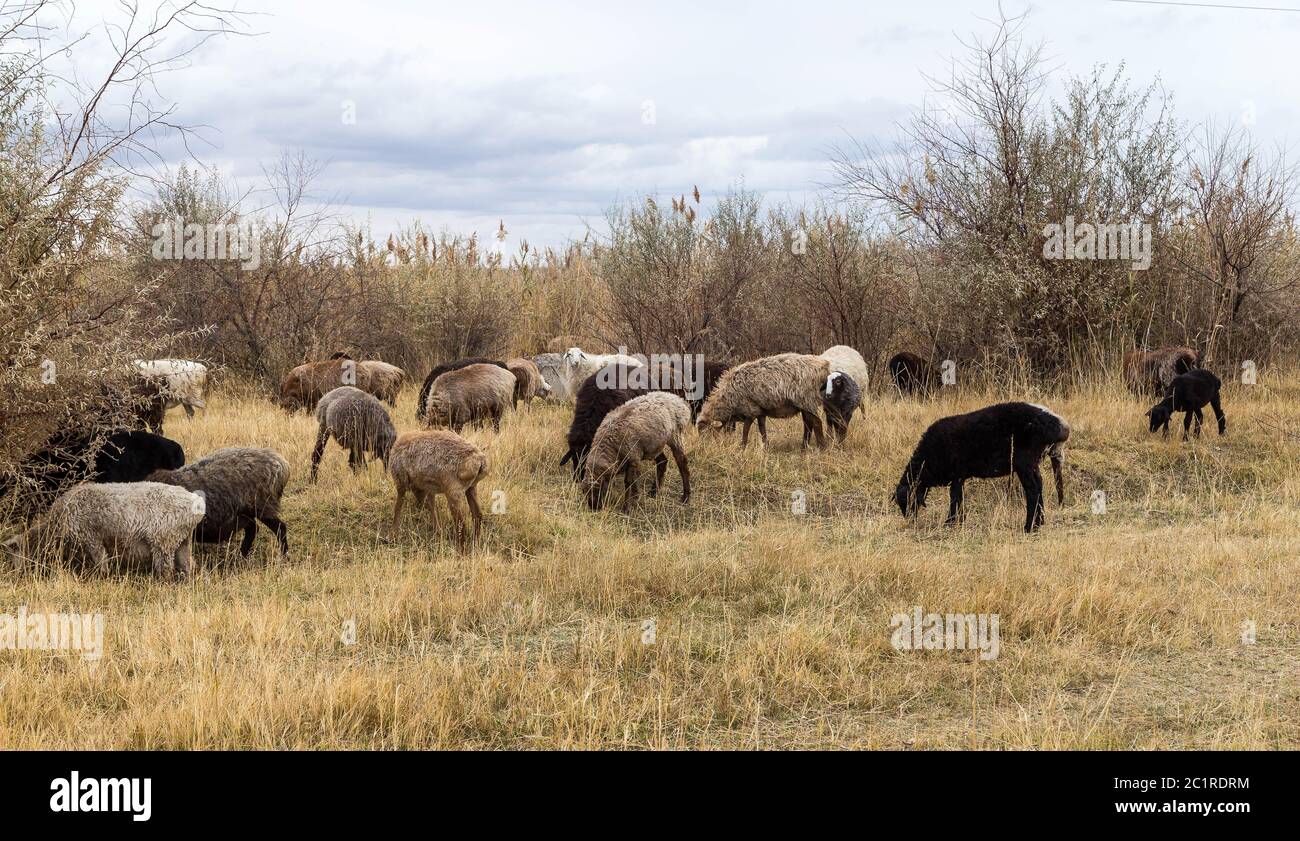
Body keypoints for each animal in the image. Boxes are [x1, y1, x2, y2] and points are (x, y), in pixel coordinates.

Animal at [2, 482, 204, 579]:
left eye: (11, 556)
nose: (13, 575)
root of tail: (196, 504)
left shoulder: (91, 538)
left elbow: (102, 564)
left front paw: (103, 578)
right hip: (182, 540)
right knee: (187, 567)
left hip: (163, 540)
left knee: (167, 571)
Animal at [147, 447, 290, 558]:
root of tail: (281, 465)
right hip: (245, 514)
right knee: (253, 529)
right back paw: (241, 555)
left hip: (262, 507)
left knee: (280, 528)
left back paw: (283, 555)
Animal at [696, 353, 831, 450]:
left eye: (705, 432)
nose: (702, 448)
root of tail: (824, 365)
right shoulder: (760, 412)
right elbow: (762, 430)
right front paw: (765, 447)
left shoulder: (750, 410)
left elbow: (745, 430)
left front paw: (742, 447)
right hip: (804, 404)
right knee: (808, 424)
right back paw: (804, 447)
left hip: (807, 400)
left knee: (816, 423)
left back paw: (821, 447)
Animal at [894, 402, 1070, 533]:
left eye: (906, 500)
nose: (909, 519)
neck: (926, 461)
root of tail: (1060, 425)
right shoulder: (959, 477)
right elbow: (958, 497)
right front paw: (958, 521)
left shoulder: (957, 474)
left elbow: (954, 498)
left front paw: (950, 522)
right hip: (1032, 464)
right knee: (1039, 486)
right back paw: (1039, 522)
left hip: (1024, 463)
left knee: (1032, 490)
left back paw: (1029, 527)